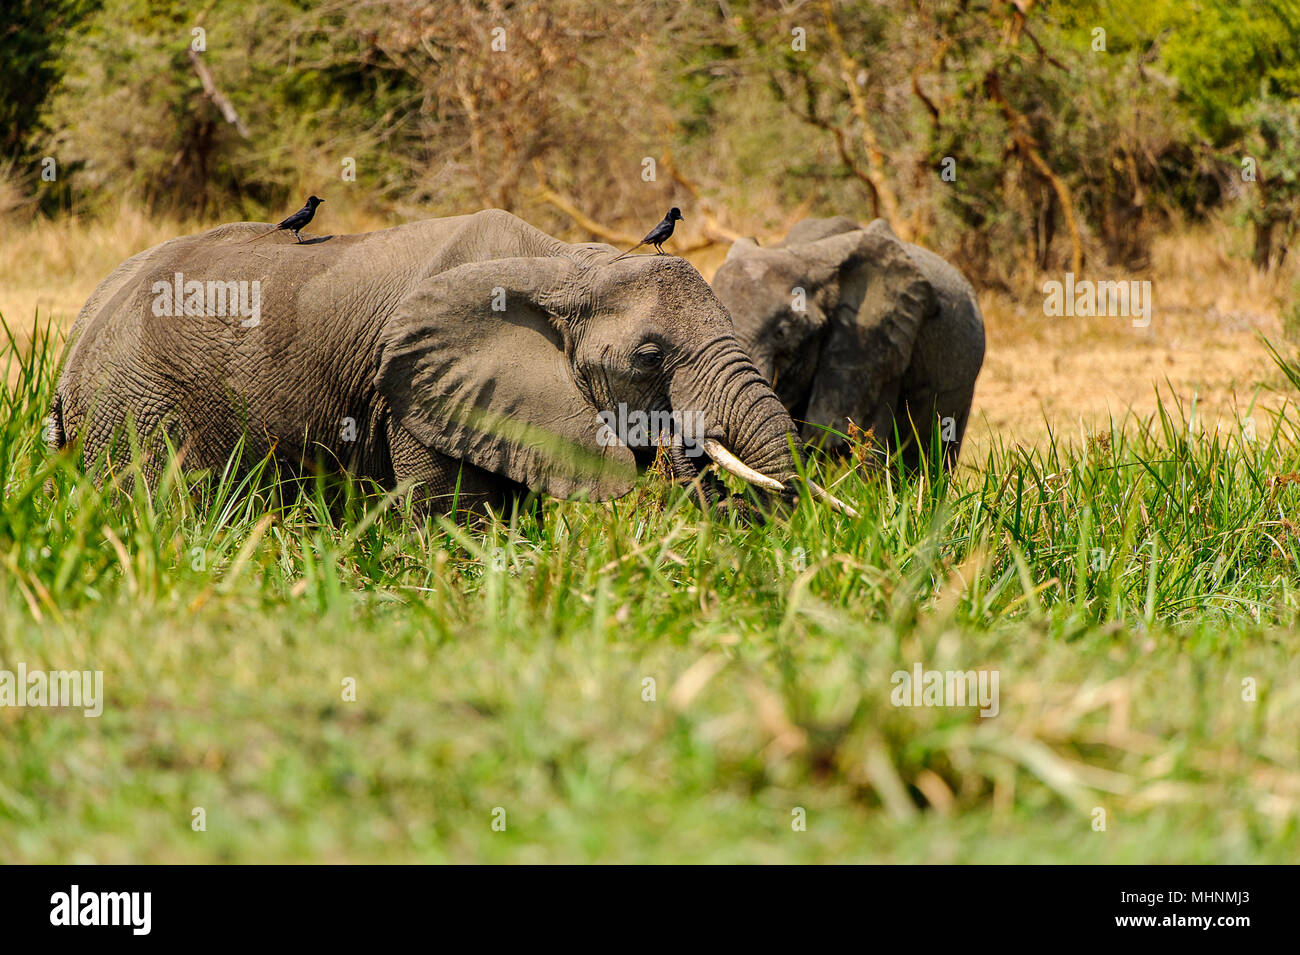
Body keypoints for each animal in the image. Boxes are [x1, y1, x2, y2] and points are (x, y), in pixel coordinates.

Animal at [50, 208, 857, 518]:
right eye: (649, 355)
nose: (691, 443)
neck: (561, 263)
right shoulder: (415, 394)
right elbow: (451, 515)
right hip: (135, 408)